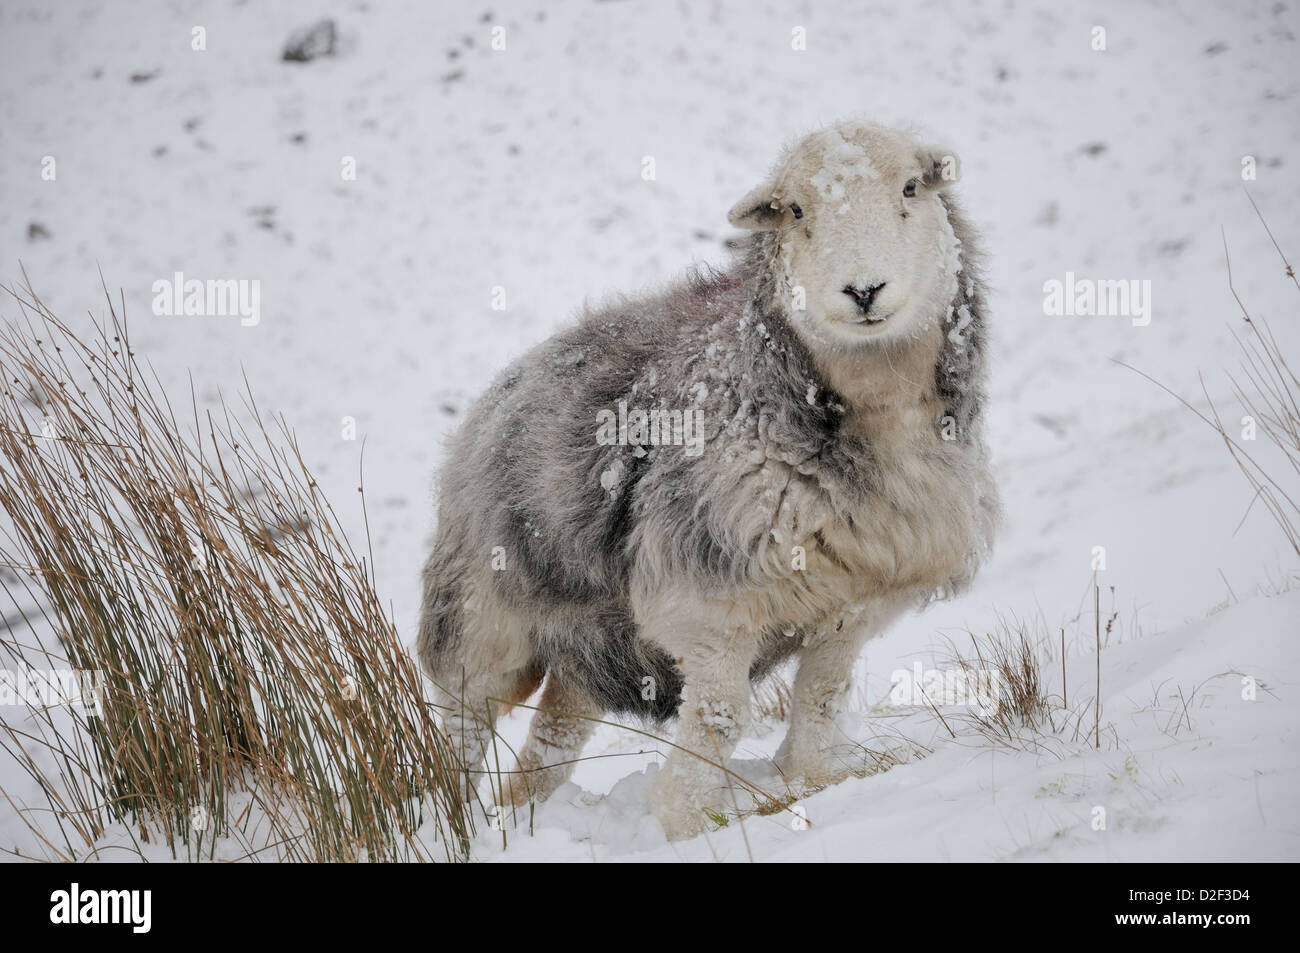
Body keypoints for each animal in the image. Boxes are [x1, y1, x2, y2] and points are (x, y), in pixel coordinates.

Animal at [417, 119, 1000, 841]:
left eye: (912, 187)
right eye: (795, 210)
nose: (863, 290)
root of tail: (504, 383)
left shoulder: (855, 596)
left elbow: (821, 696)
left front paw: (809, 782)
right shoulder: (707, 603)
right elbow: (721, 718)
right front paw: (687, 821)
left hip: (587, 634)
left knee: (556, 727)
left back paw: (527, 814)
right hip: (482, 613)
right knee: (463, 722)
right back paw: (454, 824)